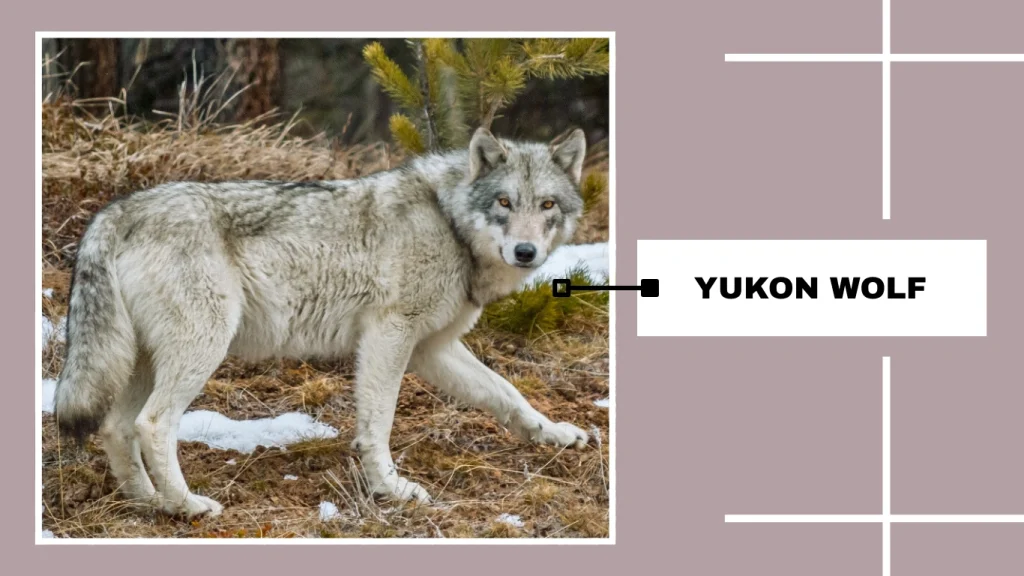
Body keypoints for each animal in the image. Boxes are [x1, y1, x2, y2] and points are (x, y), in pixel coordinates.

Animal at [53, 126, 592, 518]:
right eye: (504, 202)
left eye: (547, 205)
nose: (526, 252)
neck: (449, 222)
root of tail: (116, 211)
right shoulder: (389, 335)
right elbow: (378, 424)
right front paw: (391, 487)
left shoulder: (432, 349)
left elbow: (508, 394)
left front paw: (555, 434)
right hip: (201, 350)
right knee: (152, 424)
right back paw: (188, 506)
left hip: (145, 362)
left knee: (115, 427)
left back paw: (149, 502)